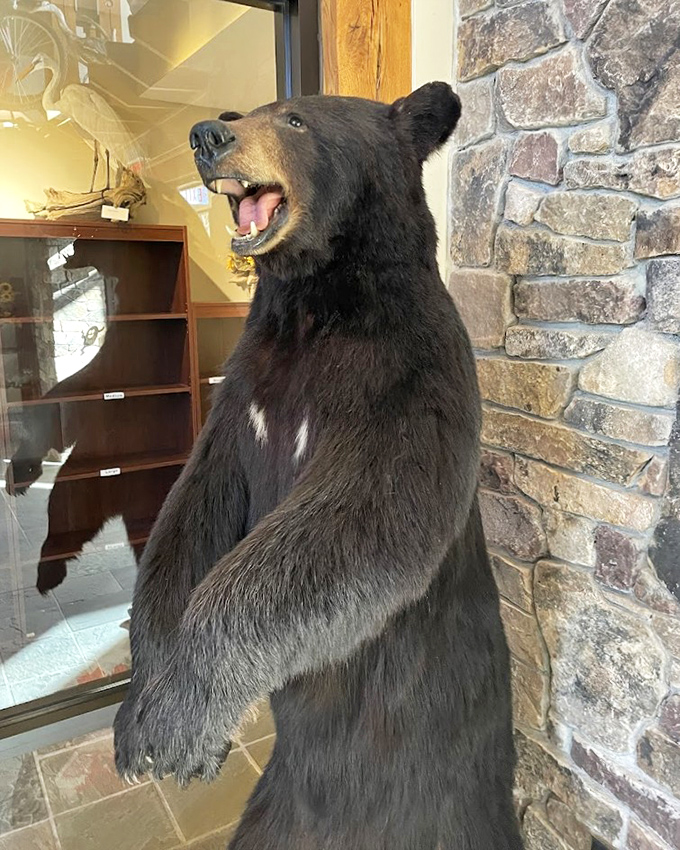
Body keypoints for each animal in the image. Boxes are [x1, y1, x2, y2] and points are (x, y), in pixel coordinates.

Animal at [114, 82, 524, 850]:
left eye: (296, 119)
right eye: (241, 113)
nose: (208, 135)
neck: (312, 297)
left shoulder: (405, 374)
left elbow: (360, 521)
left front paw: (179, 720)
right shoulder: (245, 396)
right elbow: (191, 510)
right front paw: (139, 714)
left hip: (449, 787)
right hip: (278, 809)